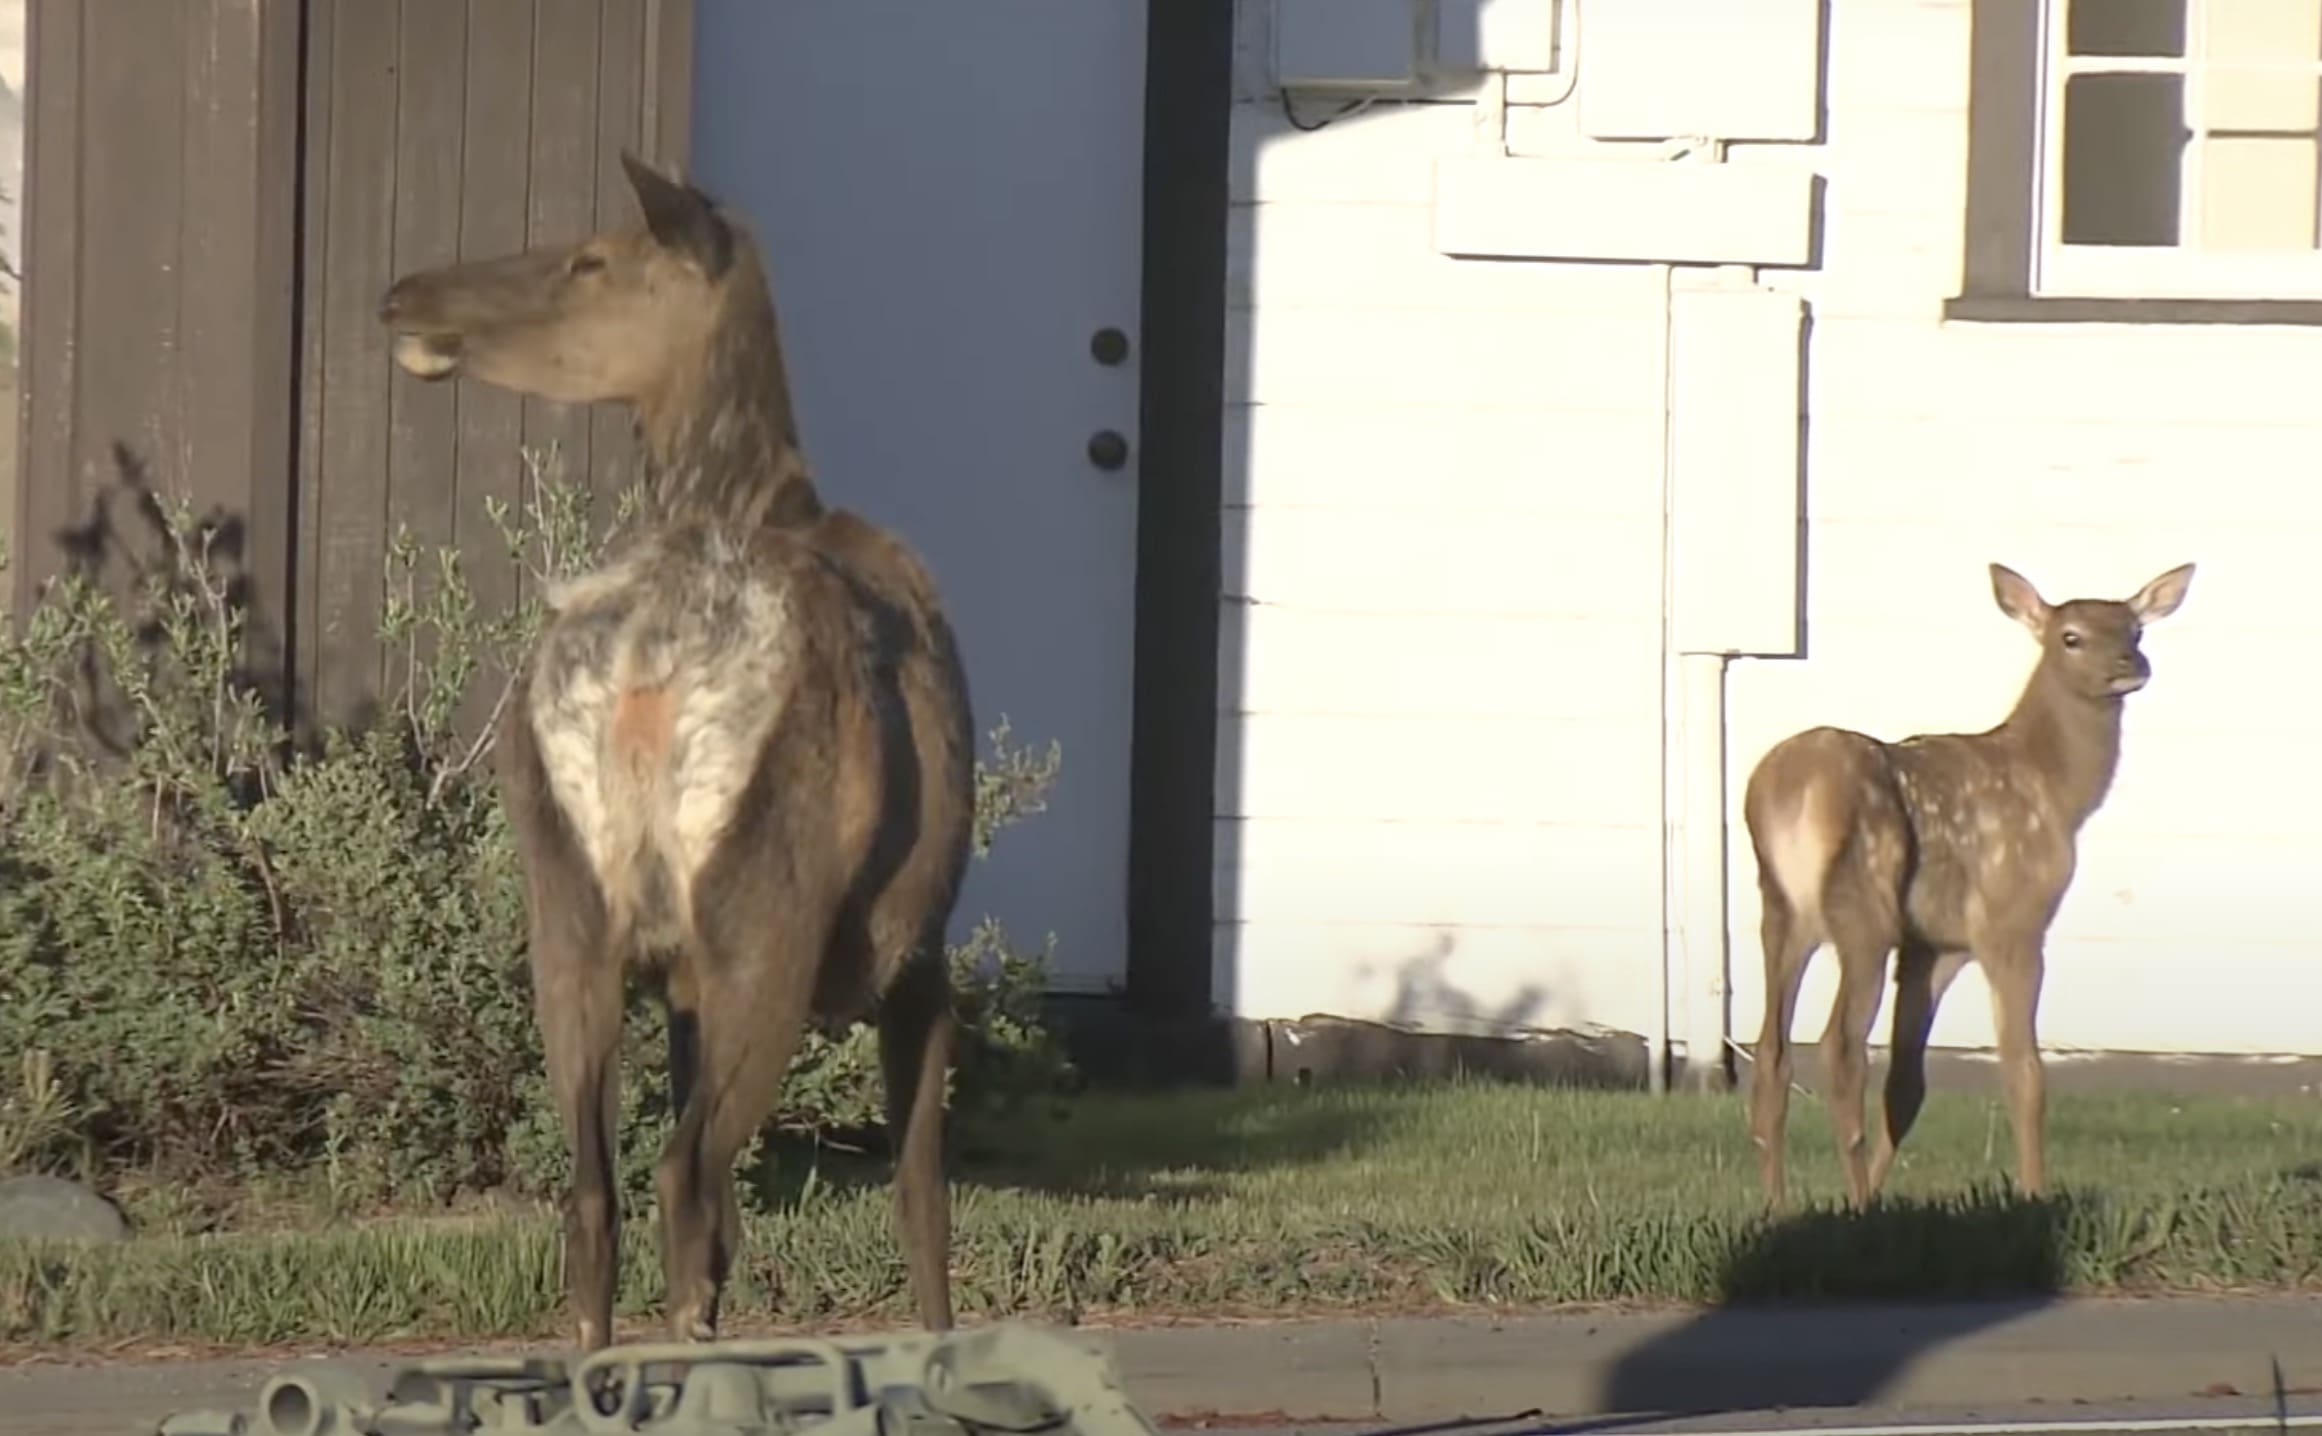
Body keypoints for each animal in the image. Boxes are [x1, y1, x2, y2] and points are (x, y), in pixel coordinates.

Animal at [374, 152, 974, 1352]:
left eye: (590, 258)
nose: (404, 294)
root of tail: (645, 670)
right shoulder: (923, 940)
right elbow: (920, 1199)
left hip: (566, 907)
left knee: (596, 1196)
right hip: (767, 912)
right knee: (683, 1178)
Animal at [1742, 560, 2194, 1212]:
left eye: (2135, 629)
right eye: (2071, 636)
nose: (2131, 665)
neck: (2054, 792)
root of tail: (1790, 788)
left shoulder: (1937, 943)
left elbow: (1907, 1082)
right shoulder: (2012, 919)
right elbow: (2024, 1071)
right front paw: (2034, 1195)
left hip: (1780, 910)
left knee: (1772, 1049)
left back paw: (1780, 1205)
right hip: (1864, 906)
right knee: (1839, 1046)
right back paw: (1853, 1203)